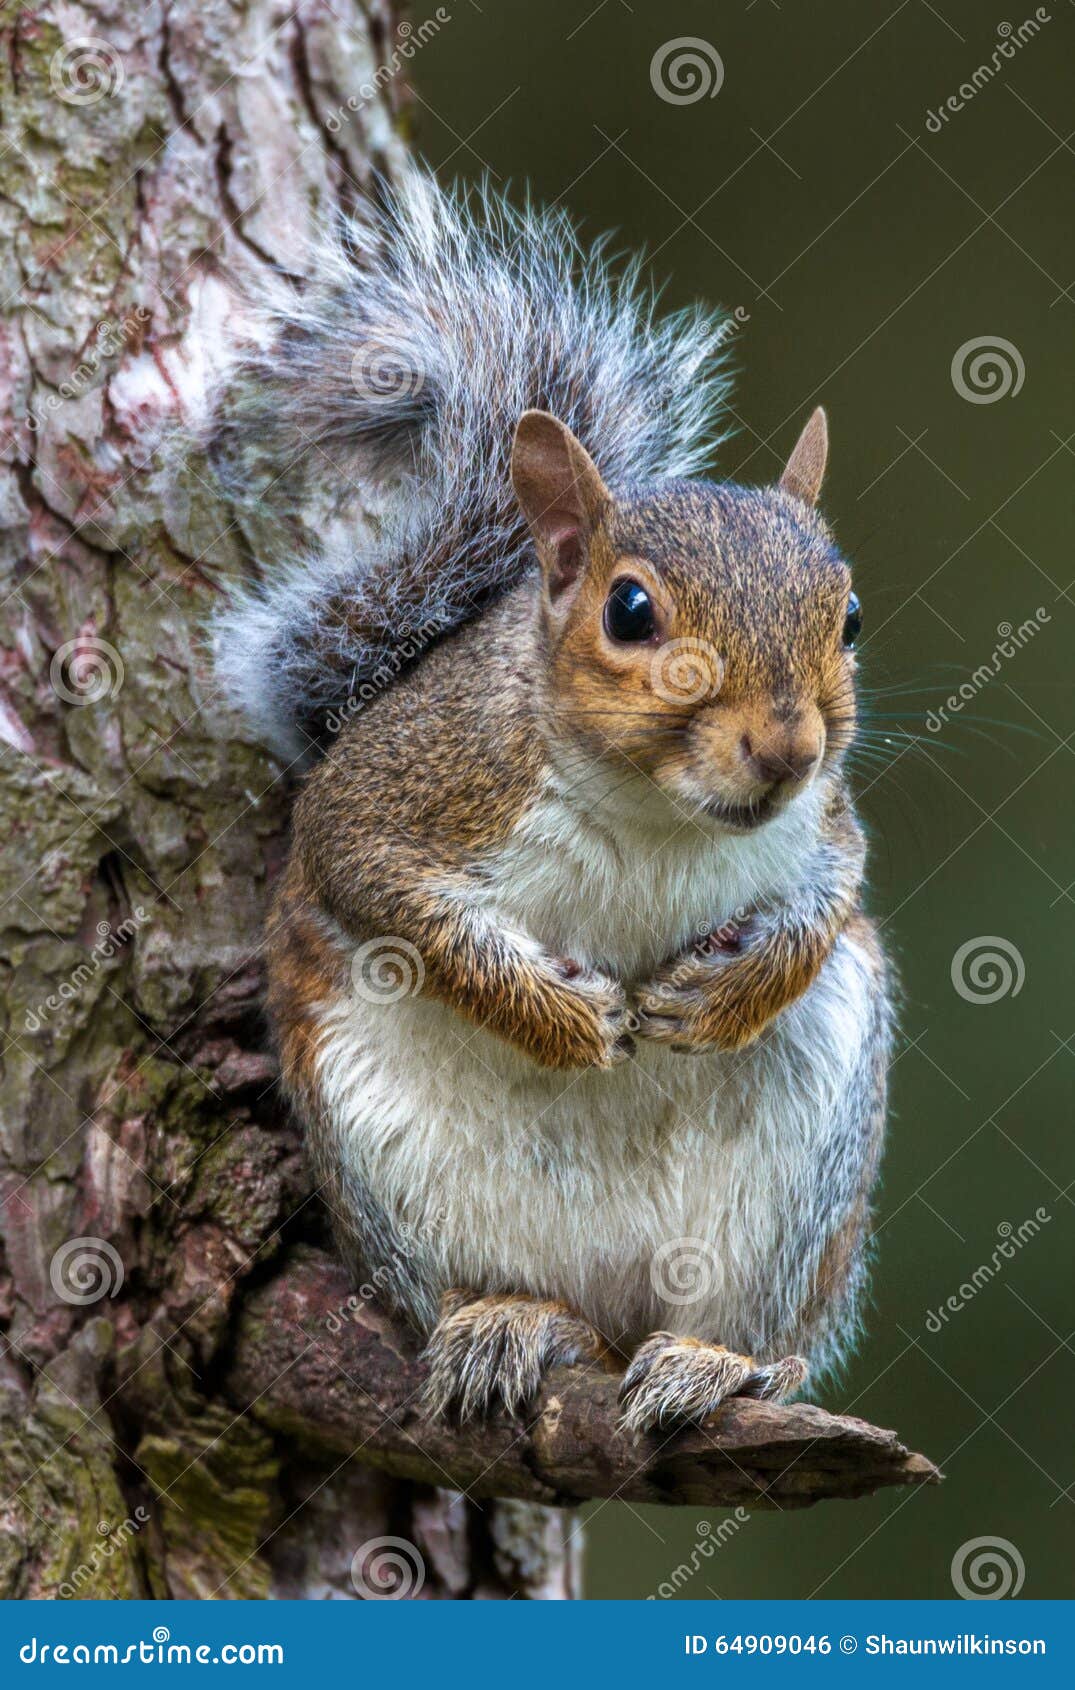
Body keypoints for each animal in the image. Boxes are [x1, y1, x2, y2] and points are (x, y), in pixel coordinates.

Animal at [211, 171, 892, 1434]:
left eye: (851, 615)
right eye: (629, 611)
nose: (786, 746)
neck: (653, 812)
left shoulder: (822, 822)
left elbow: (829, 899)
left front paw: (722, 995)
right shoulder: (403, 791)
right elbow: (391, 893)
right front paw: (562, 1017)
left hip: (799, 1193)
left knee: (748, 1330)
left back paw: (714, 1361)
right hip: (388, 1165)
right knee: (509, 1304)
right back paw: (511, 1320)